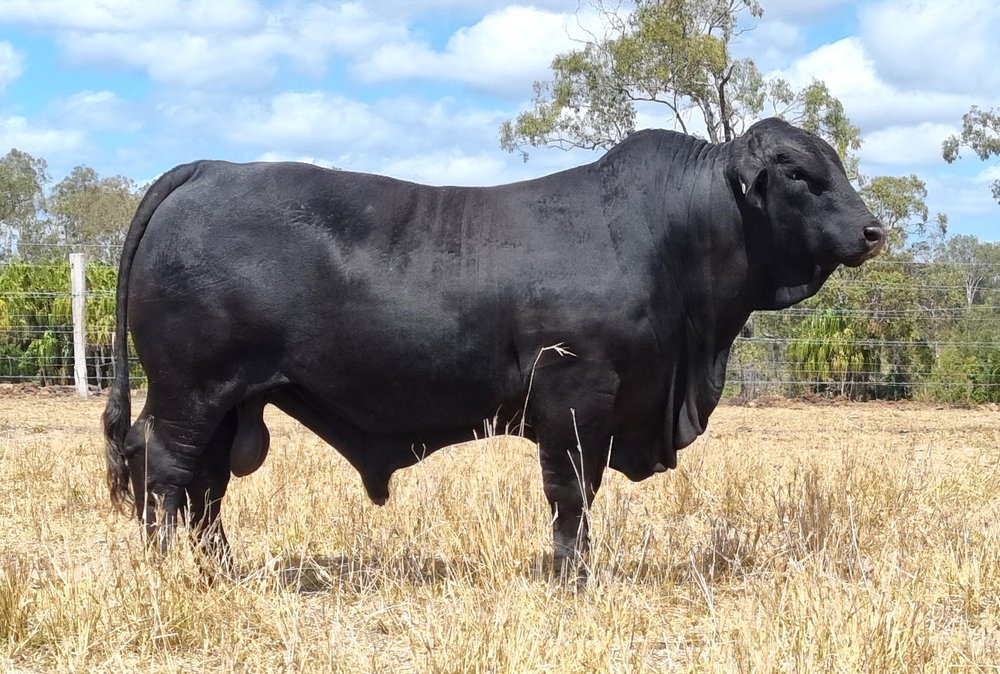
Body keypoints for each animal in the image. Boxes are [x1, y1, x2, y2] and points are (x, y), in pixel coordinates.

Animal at [102, 118, 884, 571]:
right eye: (799, 173)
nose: (874, 230)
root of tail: (210, 168)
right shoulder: (576, 395)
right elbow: (571, 491)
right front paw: (572, 575)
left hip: (232, 397)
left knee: (204, 485)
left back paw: (218, 571)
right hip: (190, 391)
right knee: (166, 469)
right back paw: (170, 571)